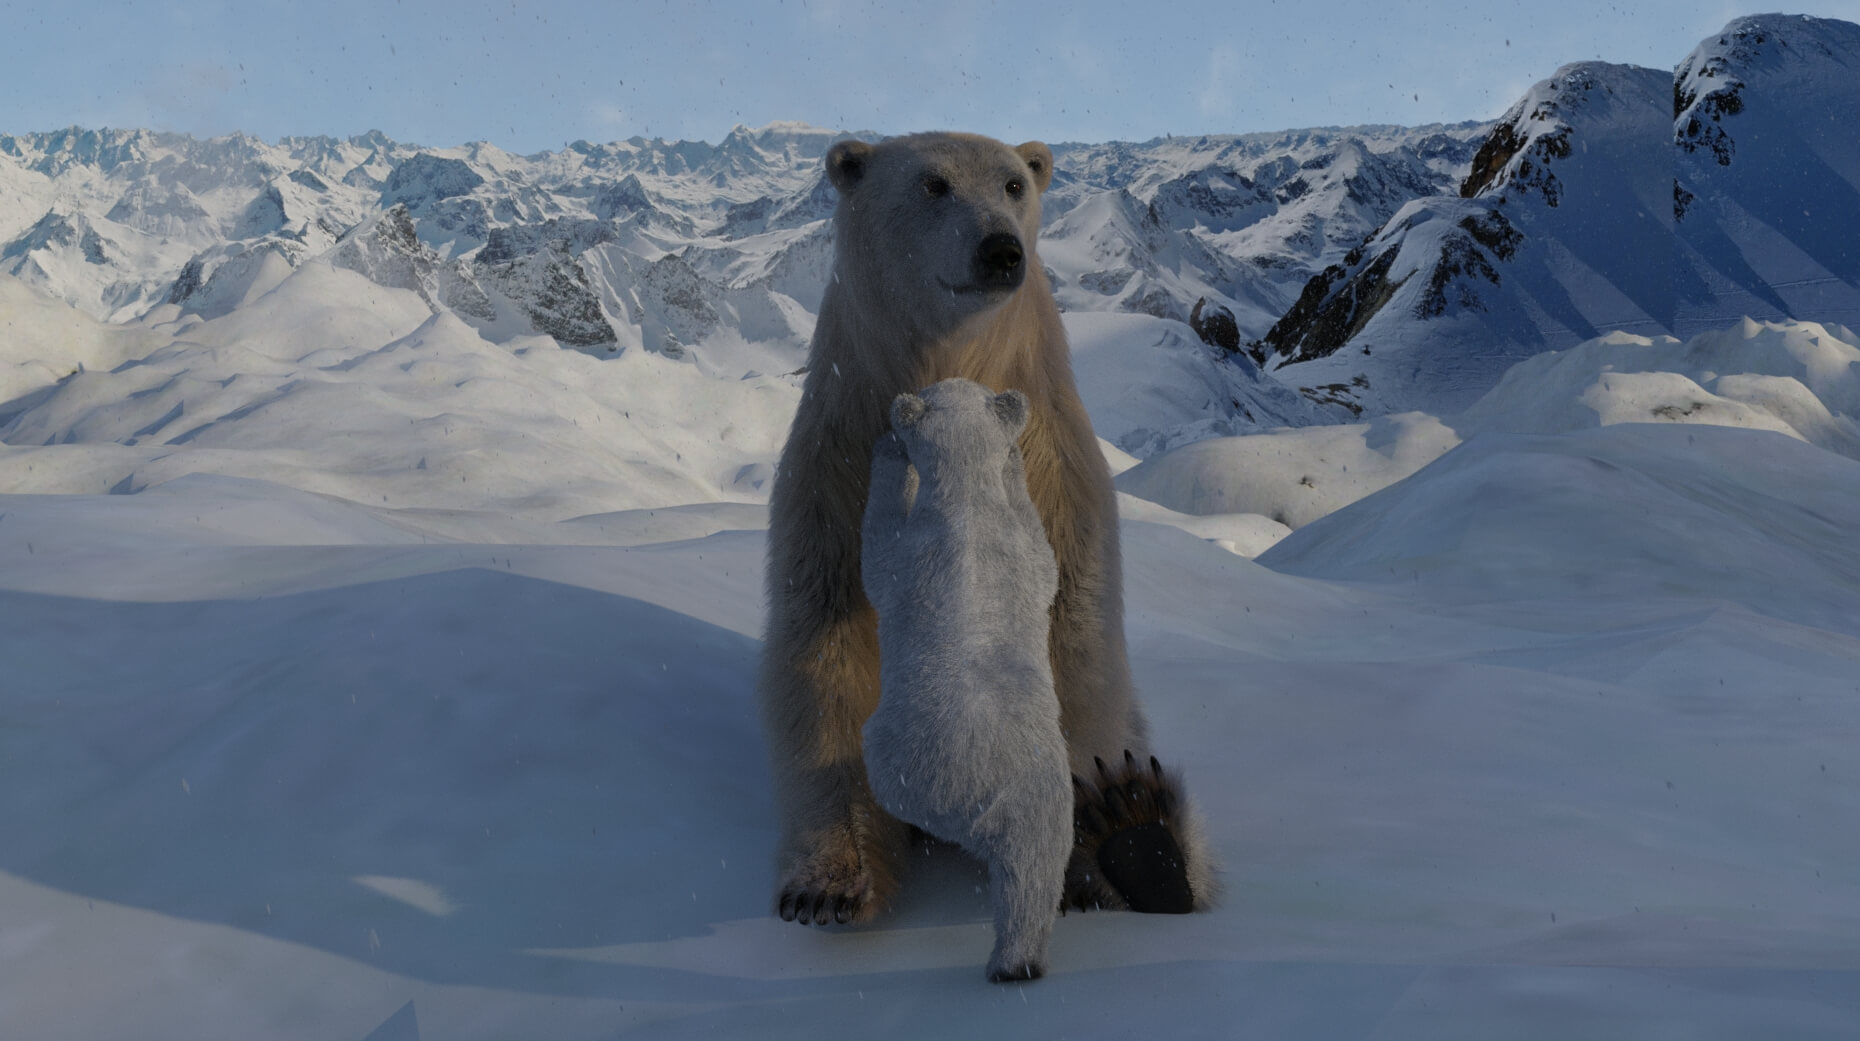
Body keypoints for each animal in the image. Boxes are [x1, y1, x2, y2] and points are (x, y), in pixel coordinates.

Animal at [859, 379, 1072, 982]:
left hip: (906, 757)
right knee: (1034, 874)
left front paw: (888, 449)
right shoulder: (1020, 553)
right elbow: (1043, 557)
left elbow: (876, 550)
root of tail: (987, 795)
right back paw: (1016, 962)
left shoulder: (912, 555)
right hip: (1048, 792)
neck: (968, 506)